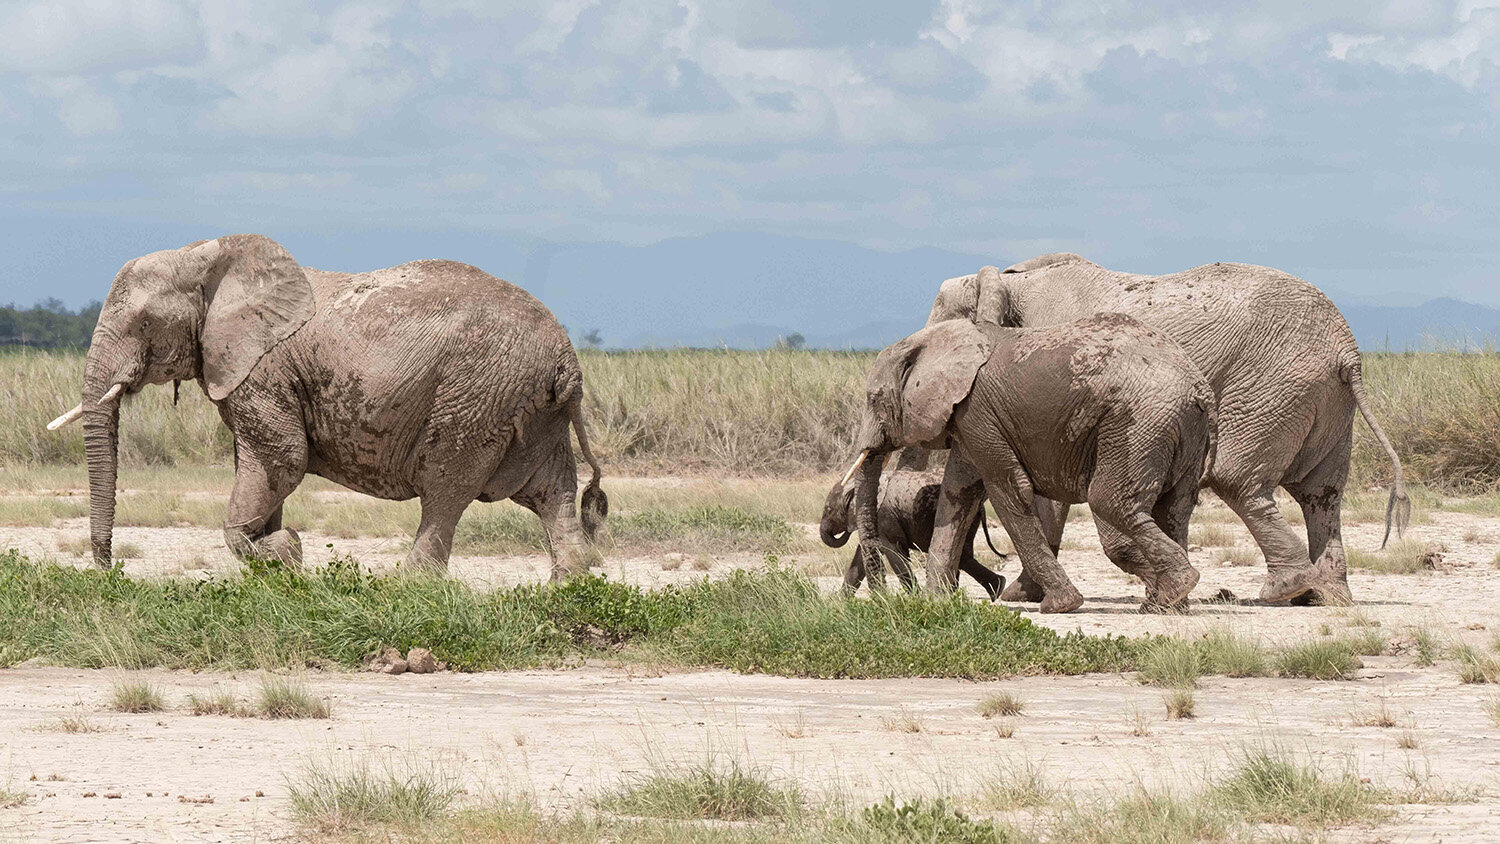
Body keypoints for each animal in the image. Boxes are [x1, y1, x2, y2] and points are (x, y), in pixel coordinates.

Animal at [45, 234, 607, 577]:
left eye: (143, 323)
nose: (110, 570)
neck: (205, 254)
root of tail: (567, 358)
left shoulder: (261, 369)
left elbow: (283, 459)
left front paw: (283, 550)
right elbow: (260, 465)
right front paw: (277, 555)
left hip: (478, 393)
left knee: (447, 484)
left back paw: (408, 586)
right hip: (531, 405)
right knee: (551, 489)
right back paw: (570, 584)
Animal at [819, 465, 1006, 599]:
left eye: (828, 510)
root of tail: (981, 506)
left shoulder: (884, 517)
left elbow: (894, 552)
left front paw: (915, 598)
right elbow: (860, 557)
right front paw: (840, 602)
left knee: (961, 555)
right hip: (970, 517)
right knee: (963, 555)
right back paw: (995, 589)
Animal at [842, 314, 1216, 613]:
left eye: (873, 399)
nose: (880, 598)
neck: (932, 340)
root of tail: (1198, 387)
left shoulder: (977, 411)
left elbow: (1007, 492)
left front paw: (1059, 606)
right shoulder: (969, 419)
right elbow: (957, 495)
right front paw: (935, 602)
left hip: (1139, 423)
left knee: (1108, 501)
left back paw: (1175, 588)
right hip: (1182, 429)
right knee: (1176, 508)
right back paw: (1167, 604)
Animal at [915, 256, 1408, 606]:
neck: (1006, 279)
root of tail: (1347, 350)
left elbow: (1042, 495)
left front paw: (1019, 596)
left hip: (1272, 386)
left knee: (1237, 480)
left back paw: (1284, 592)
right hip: (1325, 401)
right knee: (1321, 495)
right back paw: (1326, 598)